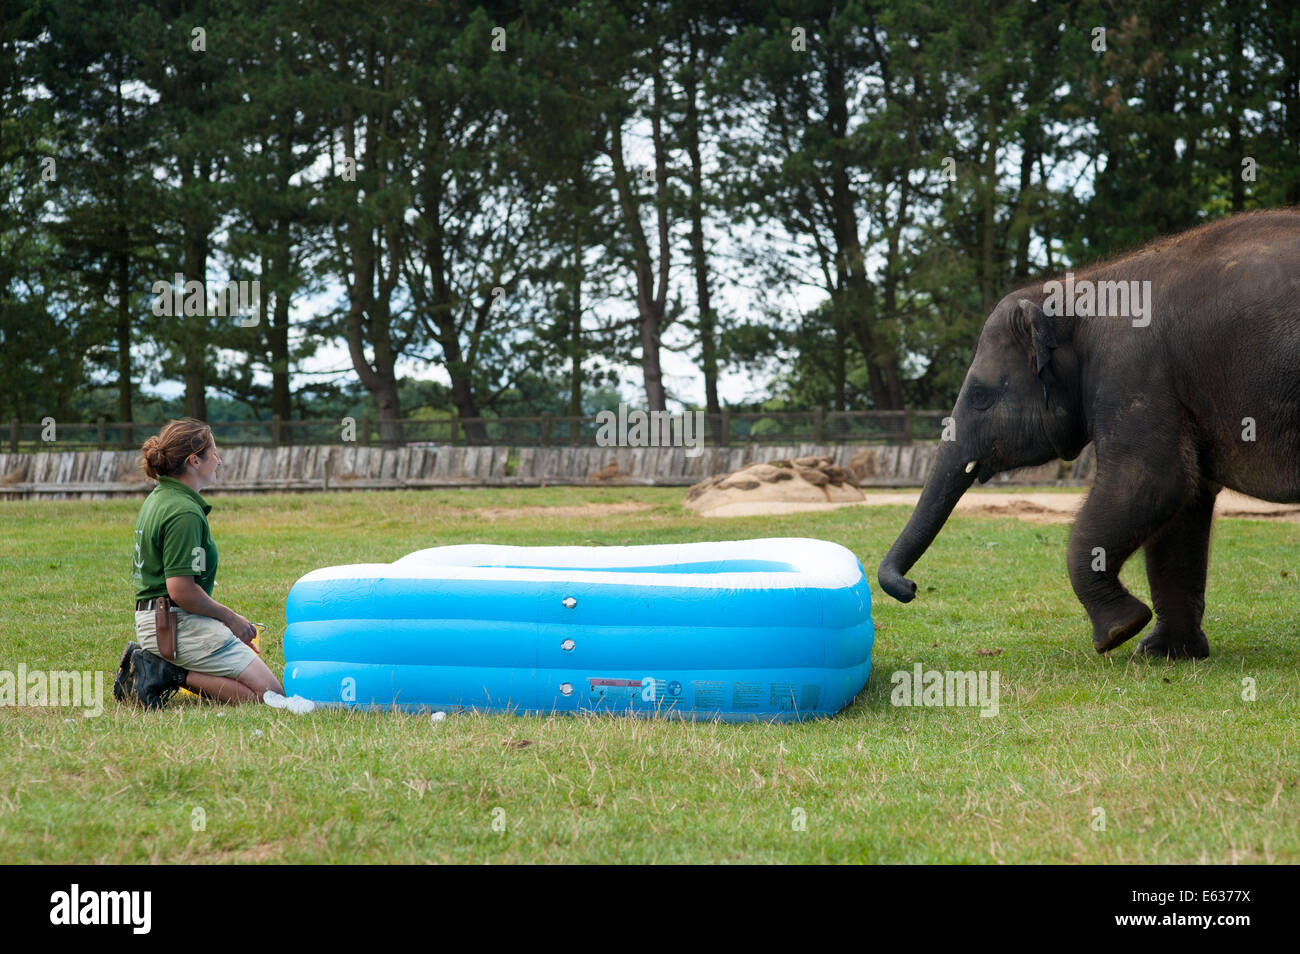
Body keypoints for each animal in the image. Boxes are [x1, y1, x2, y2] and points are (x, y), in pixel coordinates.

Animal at [877, 209, 1300, 659]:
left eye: (979, 396)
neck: (1077, 290)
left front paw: (1118, 631)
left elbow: (1153, 481)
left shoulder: (1134, 373)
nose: (911, 587)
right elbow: (1184, 506)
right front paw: (1164, 652)